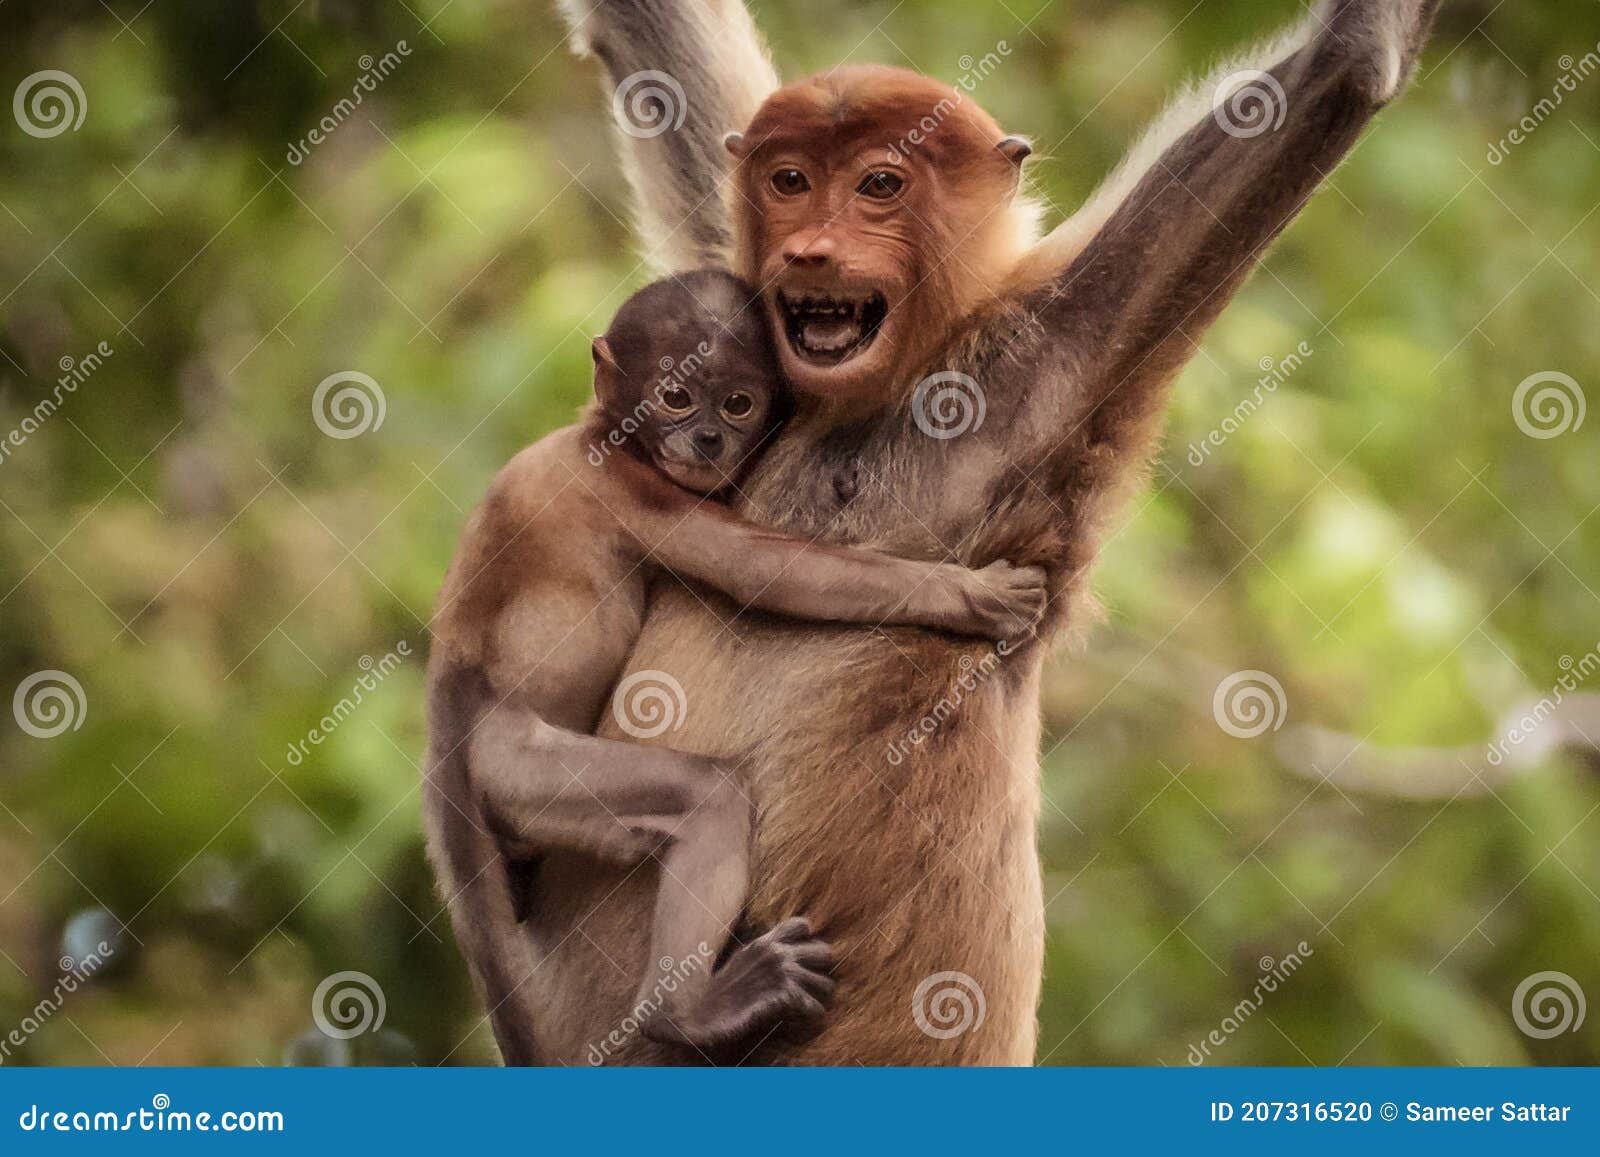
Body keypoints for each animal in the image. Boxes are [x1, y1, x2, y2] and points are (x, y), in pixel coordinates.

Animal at [423, 269, 1049, 1065]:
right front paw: (967, 596)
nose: (708, 437)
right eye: (677, 396)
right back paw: (685, 1011)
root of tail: (452, 699)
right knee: (709, 797)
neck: (599, 432)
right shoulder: (634, 487)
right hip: (519, 769)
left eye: (738, 402)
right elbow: (767, 574)